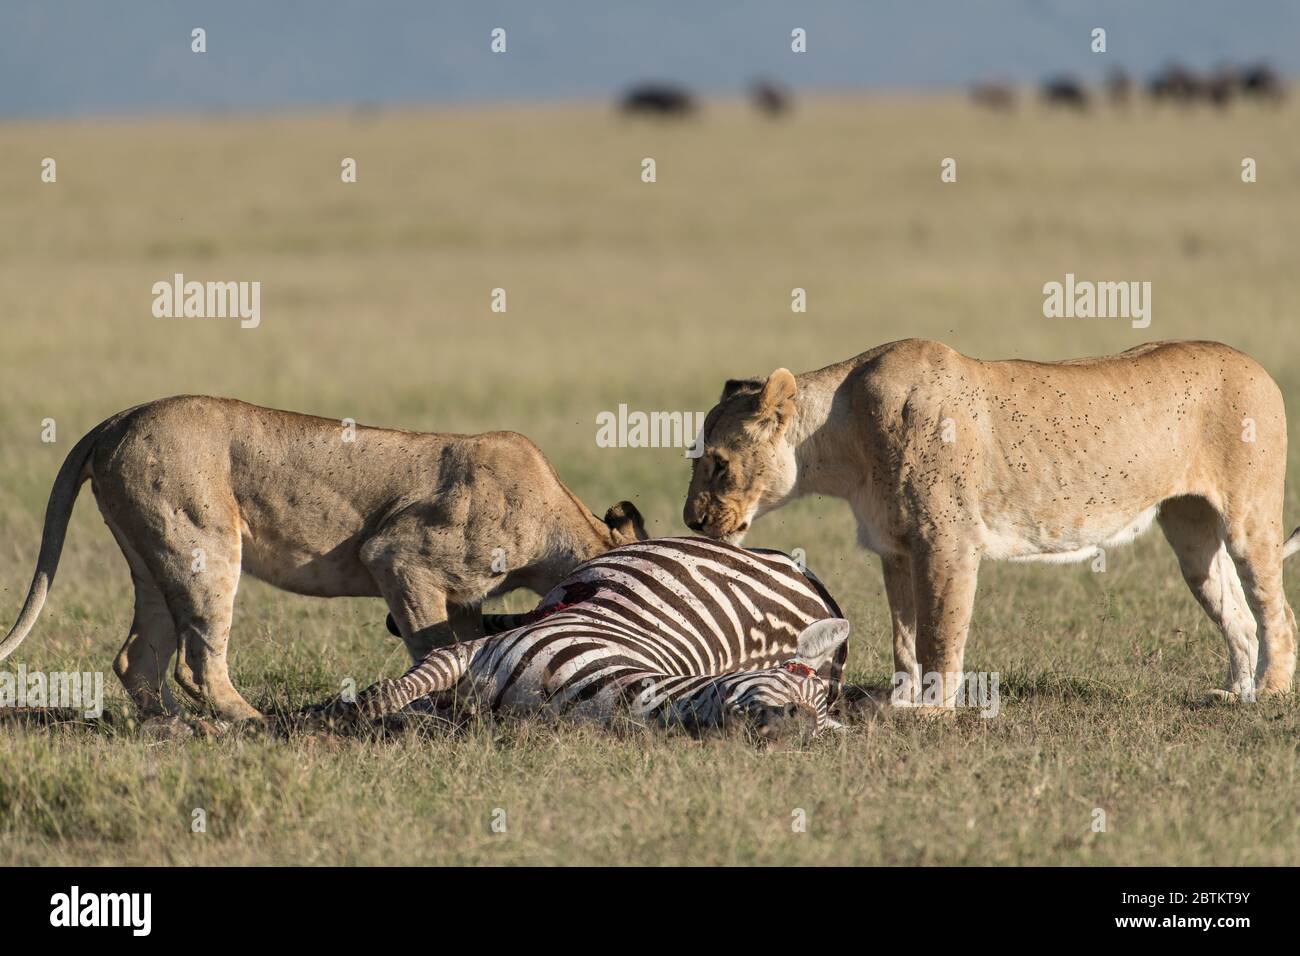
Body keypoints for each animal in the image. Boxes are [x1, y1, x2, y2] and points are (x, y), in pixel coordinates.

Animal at [332, 537, 852, 738]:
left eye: (813, 731)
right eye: (794, 682)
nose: (789, 729)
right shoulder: (470, 652)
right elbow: (395, 692)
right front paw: (340, 714)